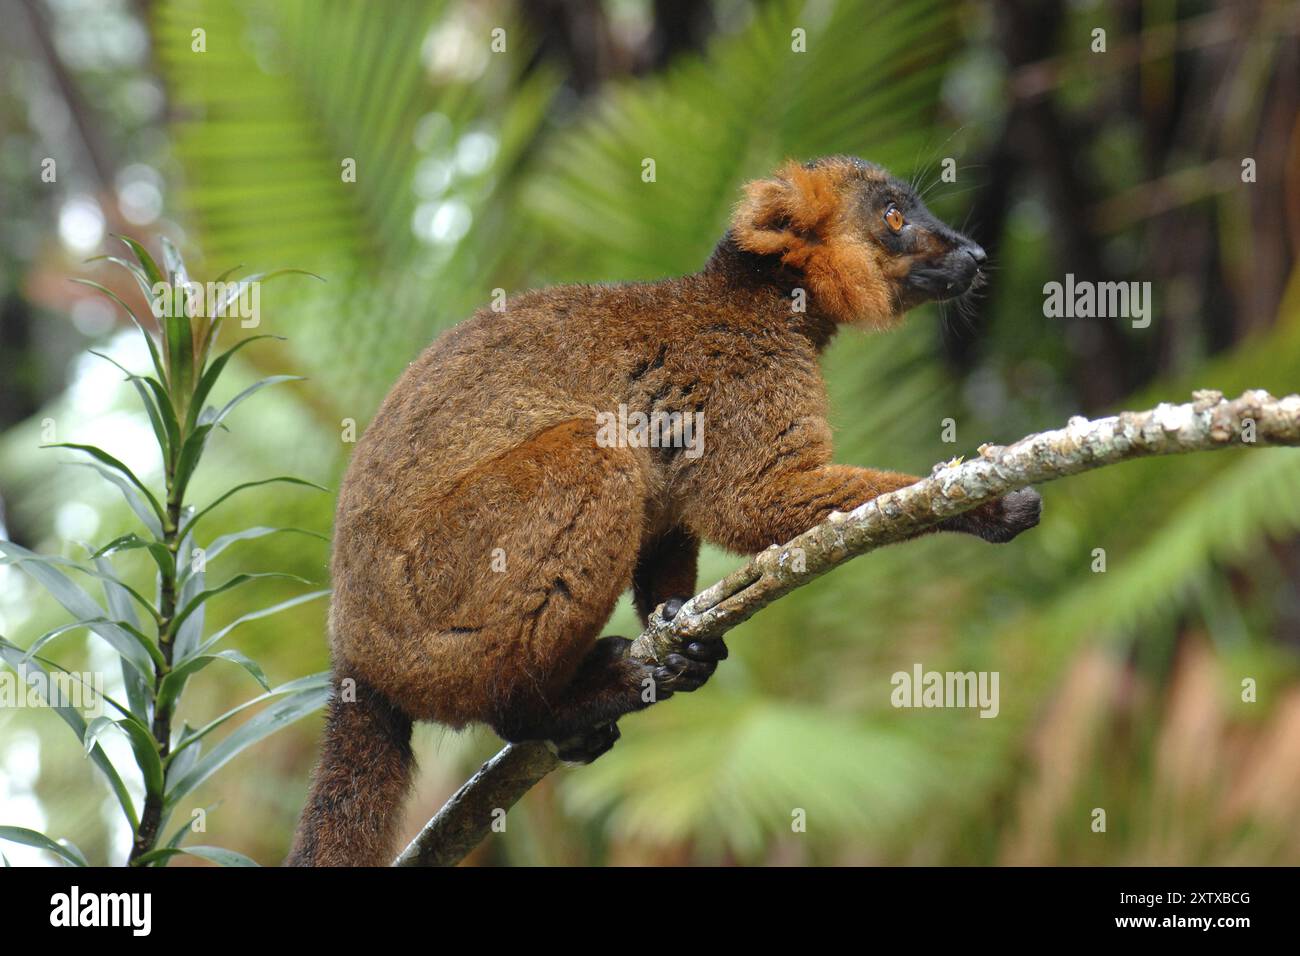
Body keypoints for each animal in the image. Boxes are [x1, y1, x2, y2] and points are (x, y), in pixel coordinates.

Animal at [285, 156, 1042, 866]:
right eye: (893, 218)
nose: (976, 254)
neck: (767, 300)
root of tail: (353, 647)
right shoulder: (744, 372)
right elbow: (749, 500)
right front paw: (982, 501)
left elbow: (675, 516)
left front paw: (679, 628)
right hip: (440, 606)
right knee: (597, 457)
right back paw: (555, 704)